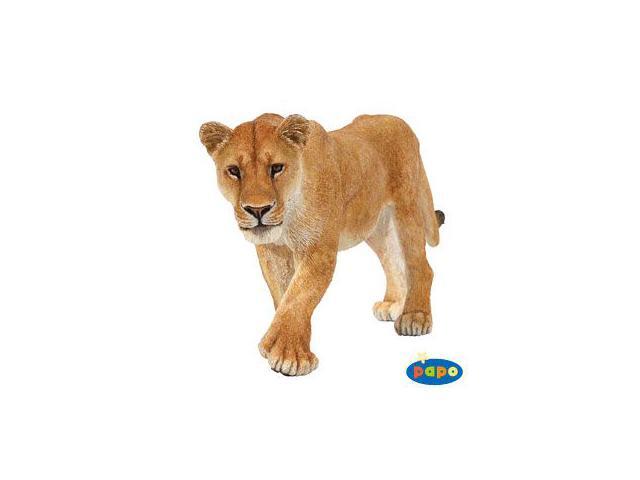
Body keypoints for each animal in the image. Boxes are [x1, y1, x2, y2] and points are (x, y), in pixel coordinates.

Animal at [199, 113, 444, 376]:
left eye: (277, 168)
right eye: (234, 171)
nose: (258, 210)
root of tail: (398, 121)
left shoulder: (317, 250)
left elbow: (298, 296)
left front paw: (291, 356)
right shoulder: (273, 251)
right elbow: (283, 296)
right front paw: (277, 345)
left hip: (406, 210)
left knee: (421, 266)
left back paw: (414, 317)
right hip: (375, 226)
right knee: (392, 260)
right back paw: (393, 304)